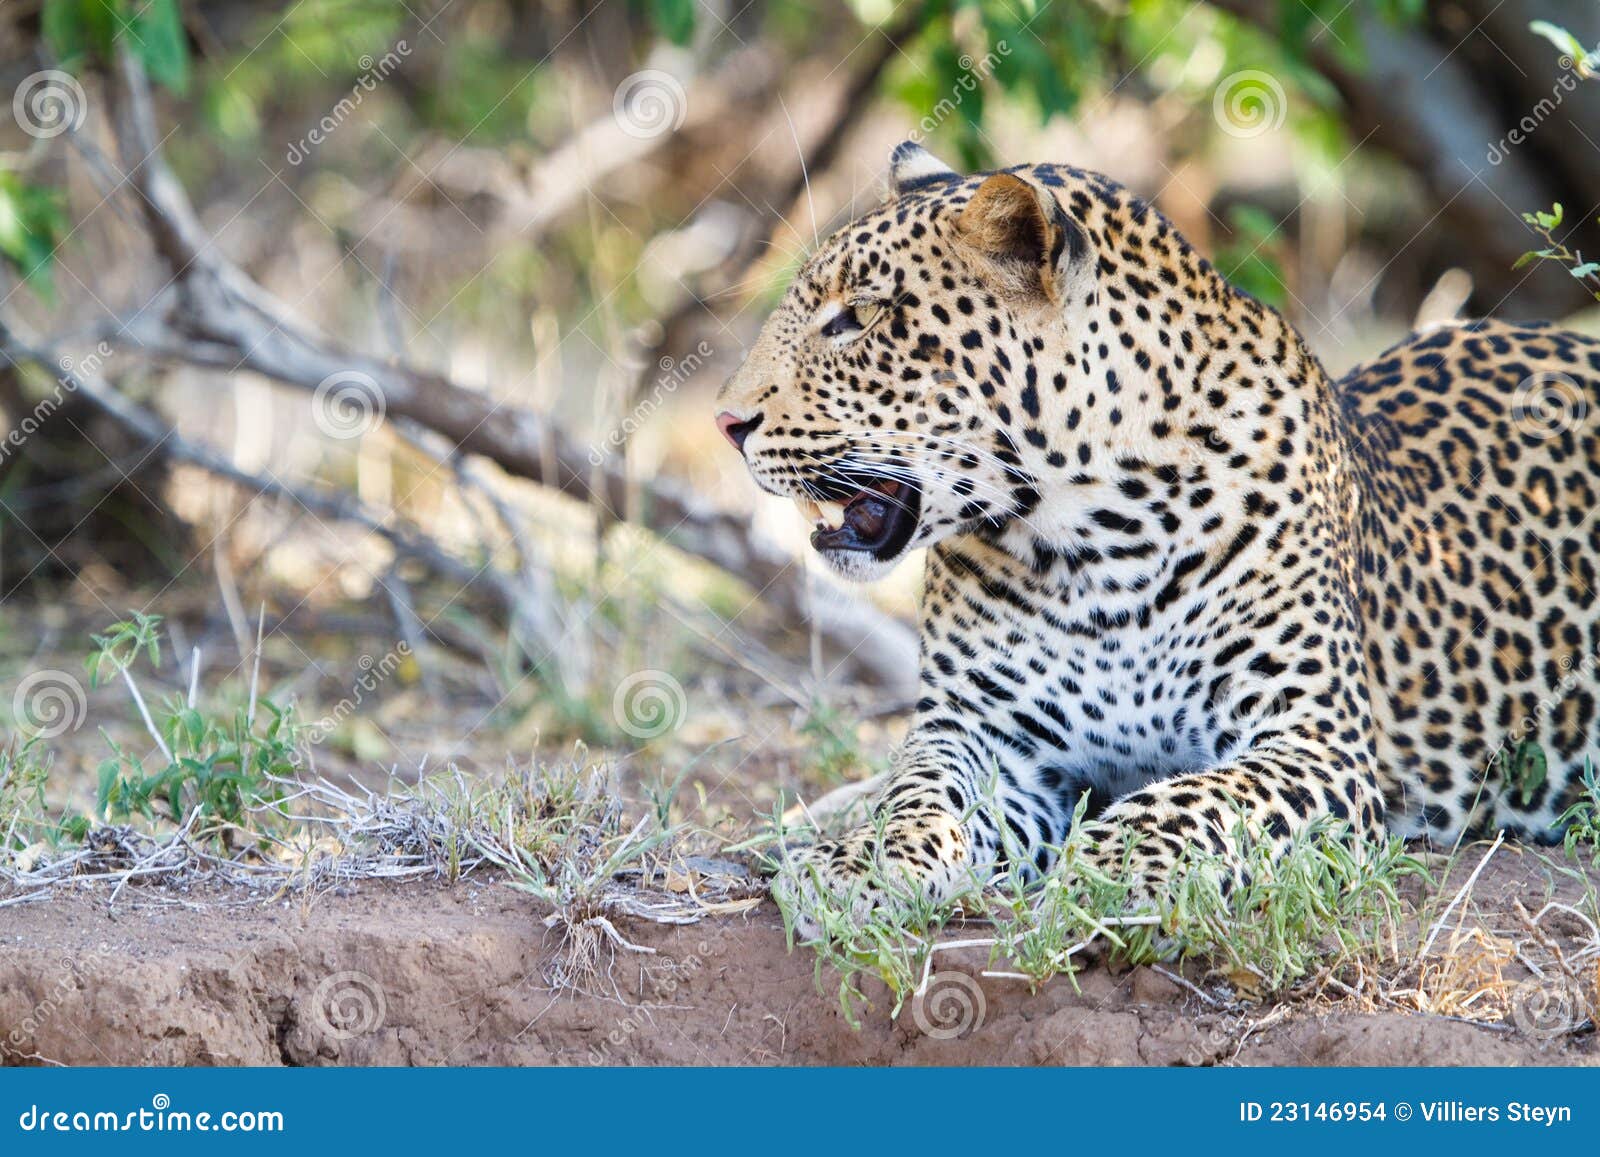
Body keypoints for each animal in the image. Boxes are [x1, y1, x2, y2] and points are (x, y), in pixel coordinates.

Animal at [714, 141, 1600, 933]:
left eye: (857, 318)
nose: (727, 422)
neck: (1094, 541)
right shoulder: (984, 734)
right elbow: (921, 791)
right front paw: (860, 860)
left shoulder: (1317, 743)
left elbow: (1196, 796)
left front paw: (1105, 867)